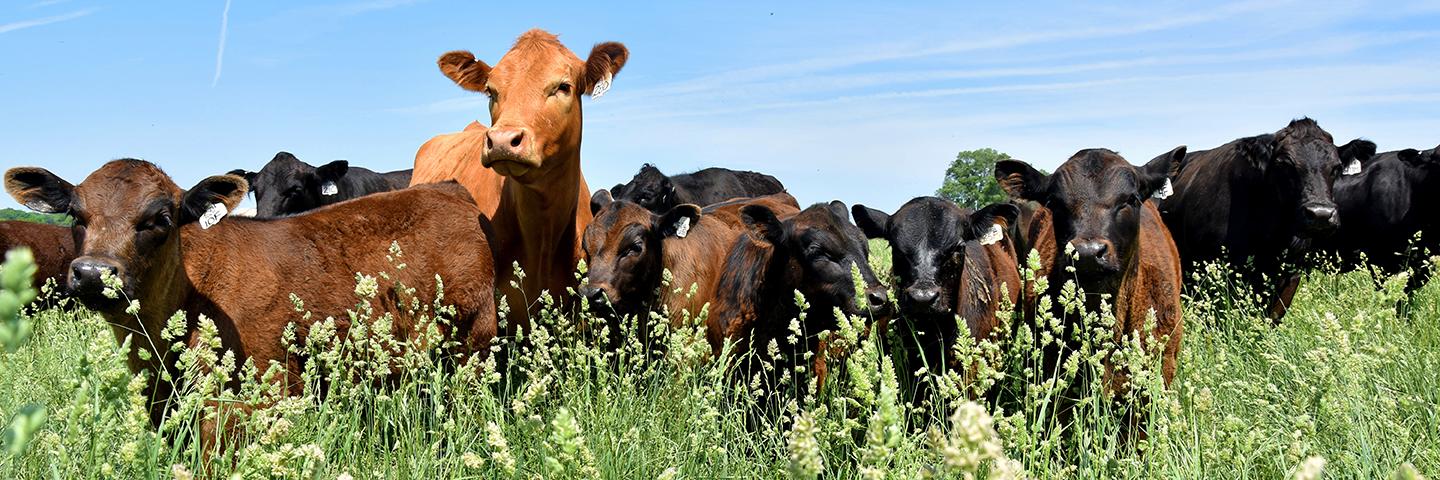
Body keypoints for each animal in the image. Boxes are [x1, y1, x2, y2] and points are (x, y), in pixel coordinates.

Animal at [4, 160, 498, 429]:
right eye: (76, 215)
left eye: (160, 218)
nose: (93, 273)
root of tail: (449, 189)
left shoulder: (253, 394)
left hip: (474, 345)